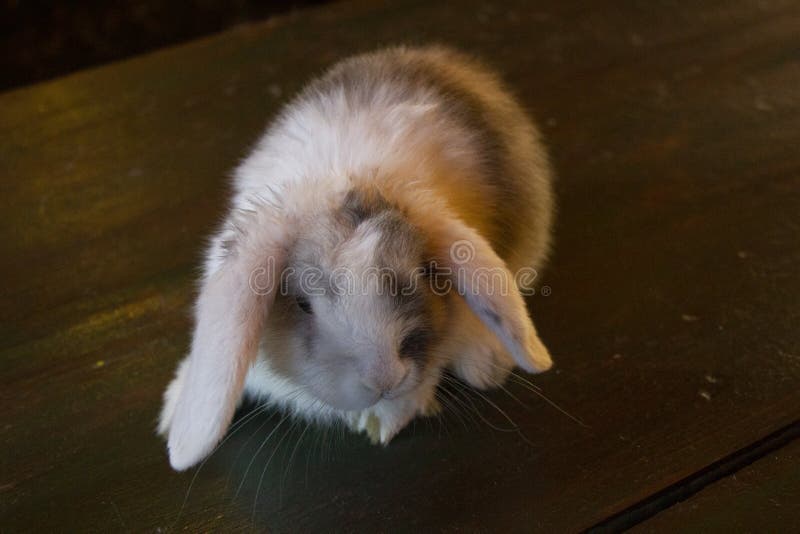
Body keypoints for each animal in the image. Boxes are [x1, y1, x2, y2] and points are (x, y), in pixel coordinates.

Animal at [158, 45, 555, 471]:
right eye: (303, 303)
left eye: (425, 274)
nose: (385, 378)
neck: (349, 174)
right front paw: (172, 412)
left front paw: (383, 422)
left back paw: (488, 363)